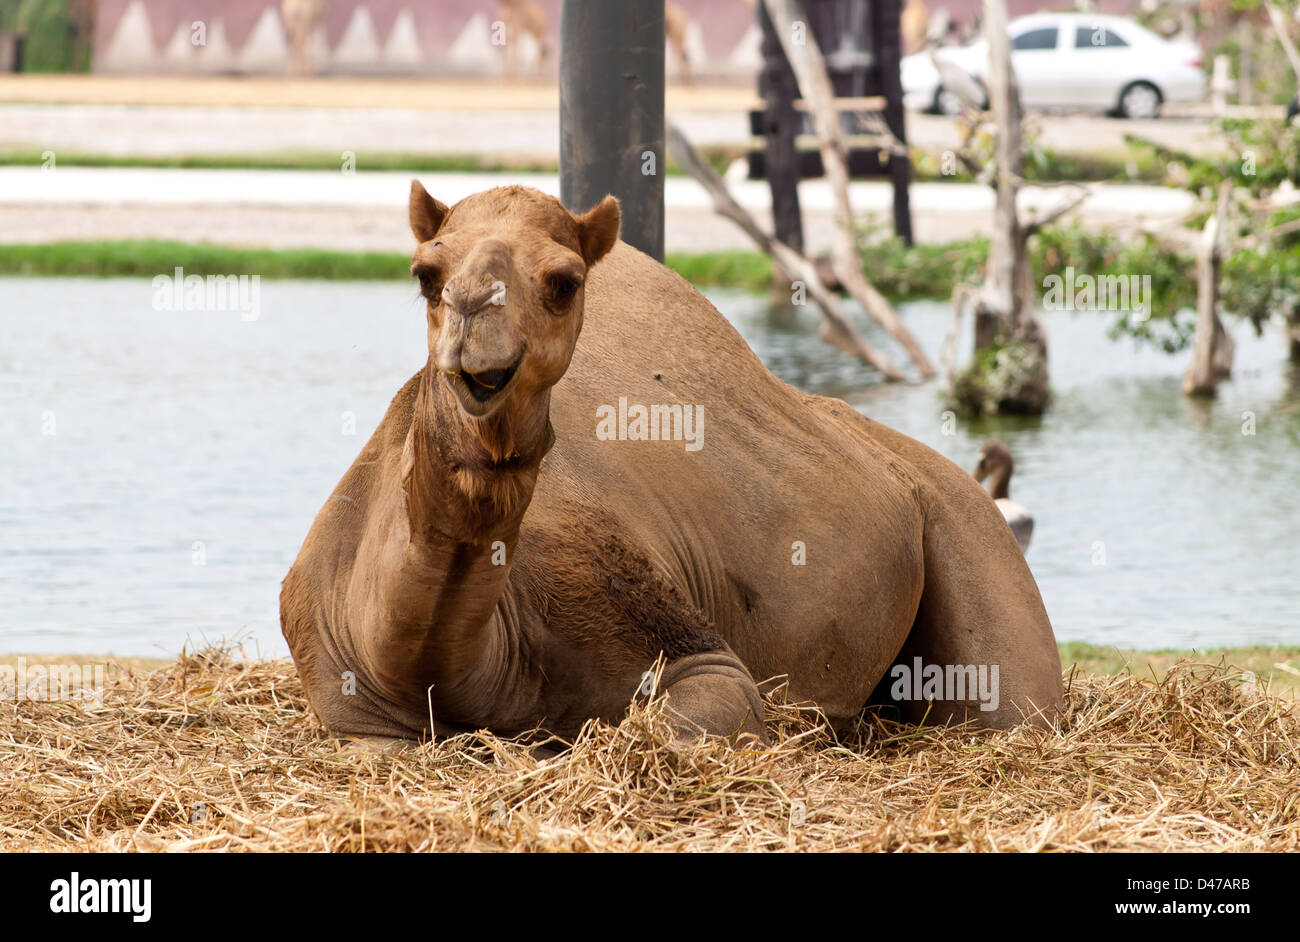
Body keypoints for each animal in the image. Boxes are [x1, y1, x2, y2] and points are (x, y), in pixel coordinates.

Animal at [281, 184, 1062, 748]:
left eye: (564, 281)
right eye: (425, 274)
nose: (476, 318)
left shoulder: (679, 644)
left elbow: (674, 718)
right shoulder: (352, 707)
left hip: (960, 511)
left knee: (1015, 707)